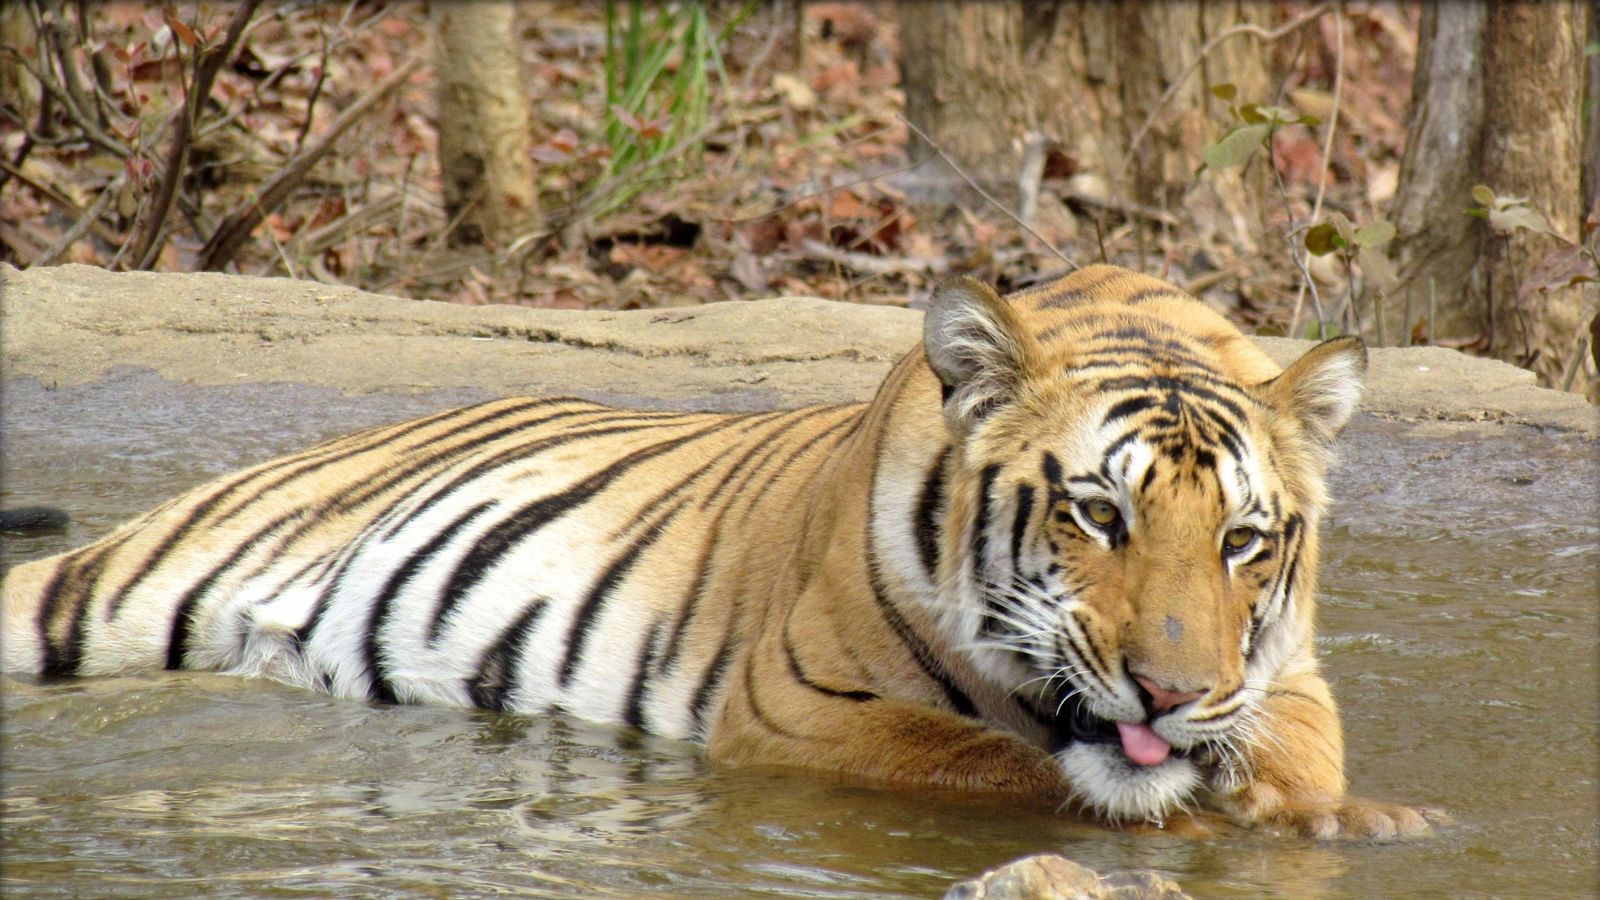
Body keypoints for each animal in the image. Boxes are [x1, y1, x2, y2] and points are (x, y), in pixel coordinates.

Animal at [1, 265, 1432, 839]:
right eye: (1096, 514)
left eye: (1243, 541)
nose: (1170, 696)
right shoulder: (799, 708)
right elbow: (1004, 767)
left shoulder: (1286, 674)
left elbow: (1301, 751)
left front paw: (1348, 817)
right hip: (104, 588)